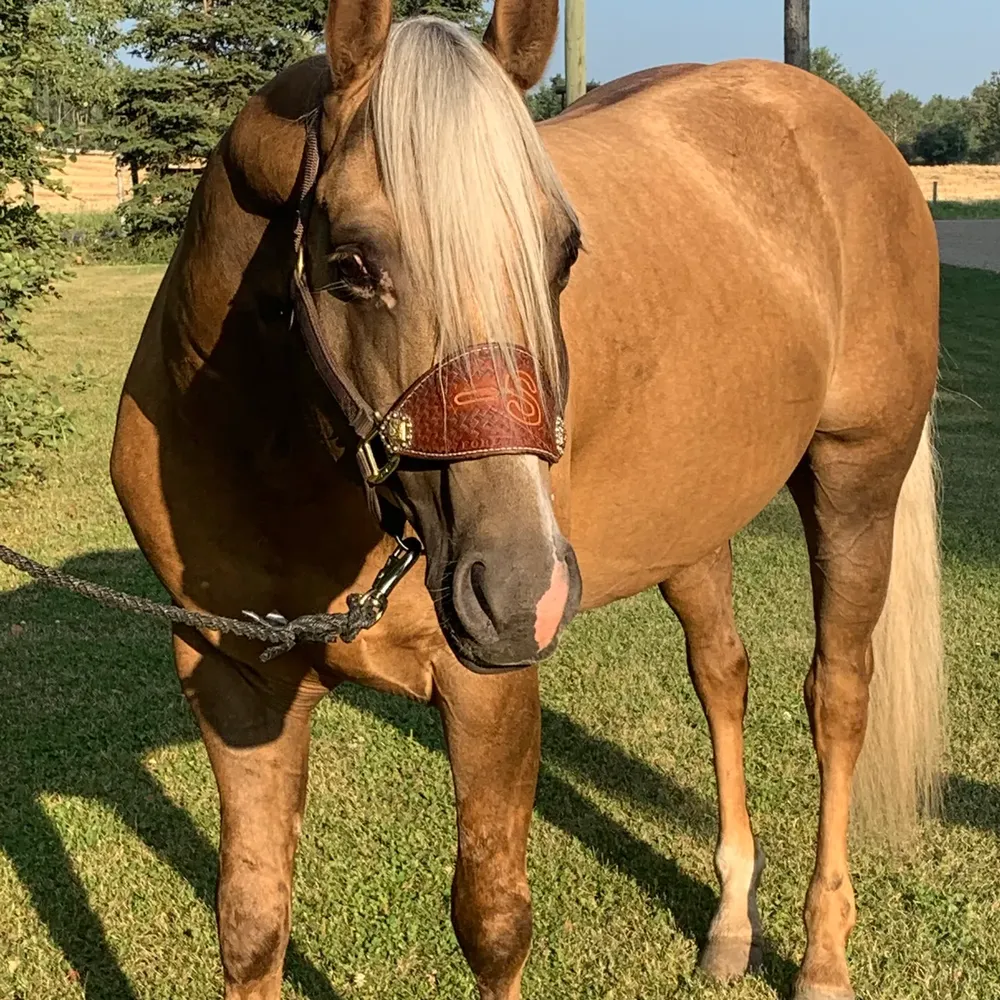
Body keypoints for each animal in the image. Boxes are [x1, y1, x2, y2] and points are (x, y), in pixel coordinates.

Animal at [110, 1, 944, 998]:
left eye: (564, 253)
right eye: (351, 262)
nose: (520, 594)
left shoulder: (489, 691)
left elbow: (492, 922)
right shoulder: (231, 681)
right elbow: (250, 922)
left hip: (857, 486)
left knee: (838, 699)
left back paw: (821, 959)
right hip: (693, 522)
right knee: (722, 674)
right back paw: (733, 923)